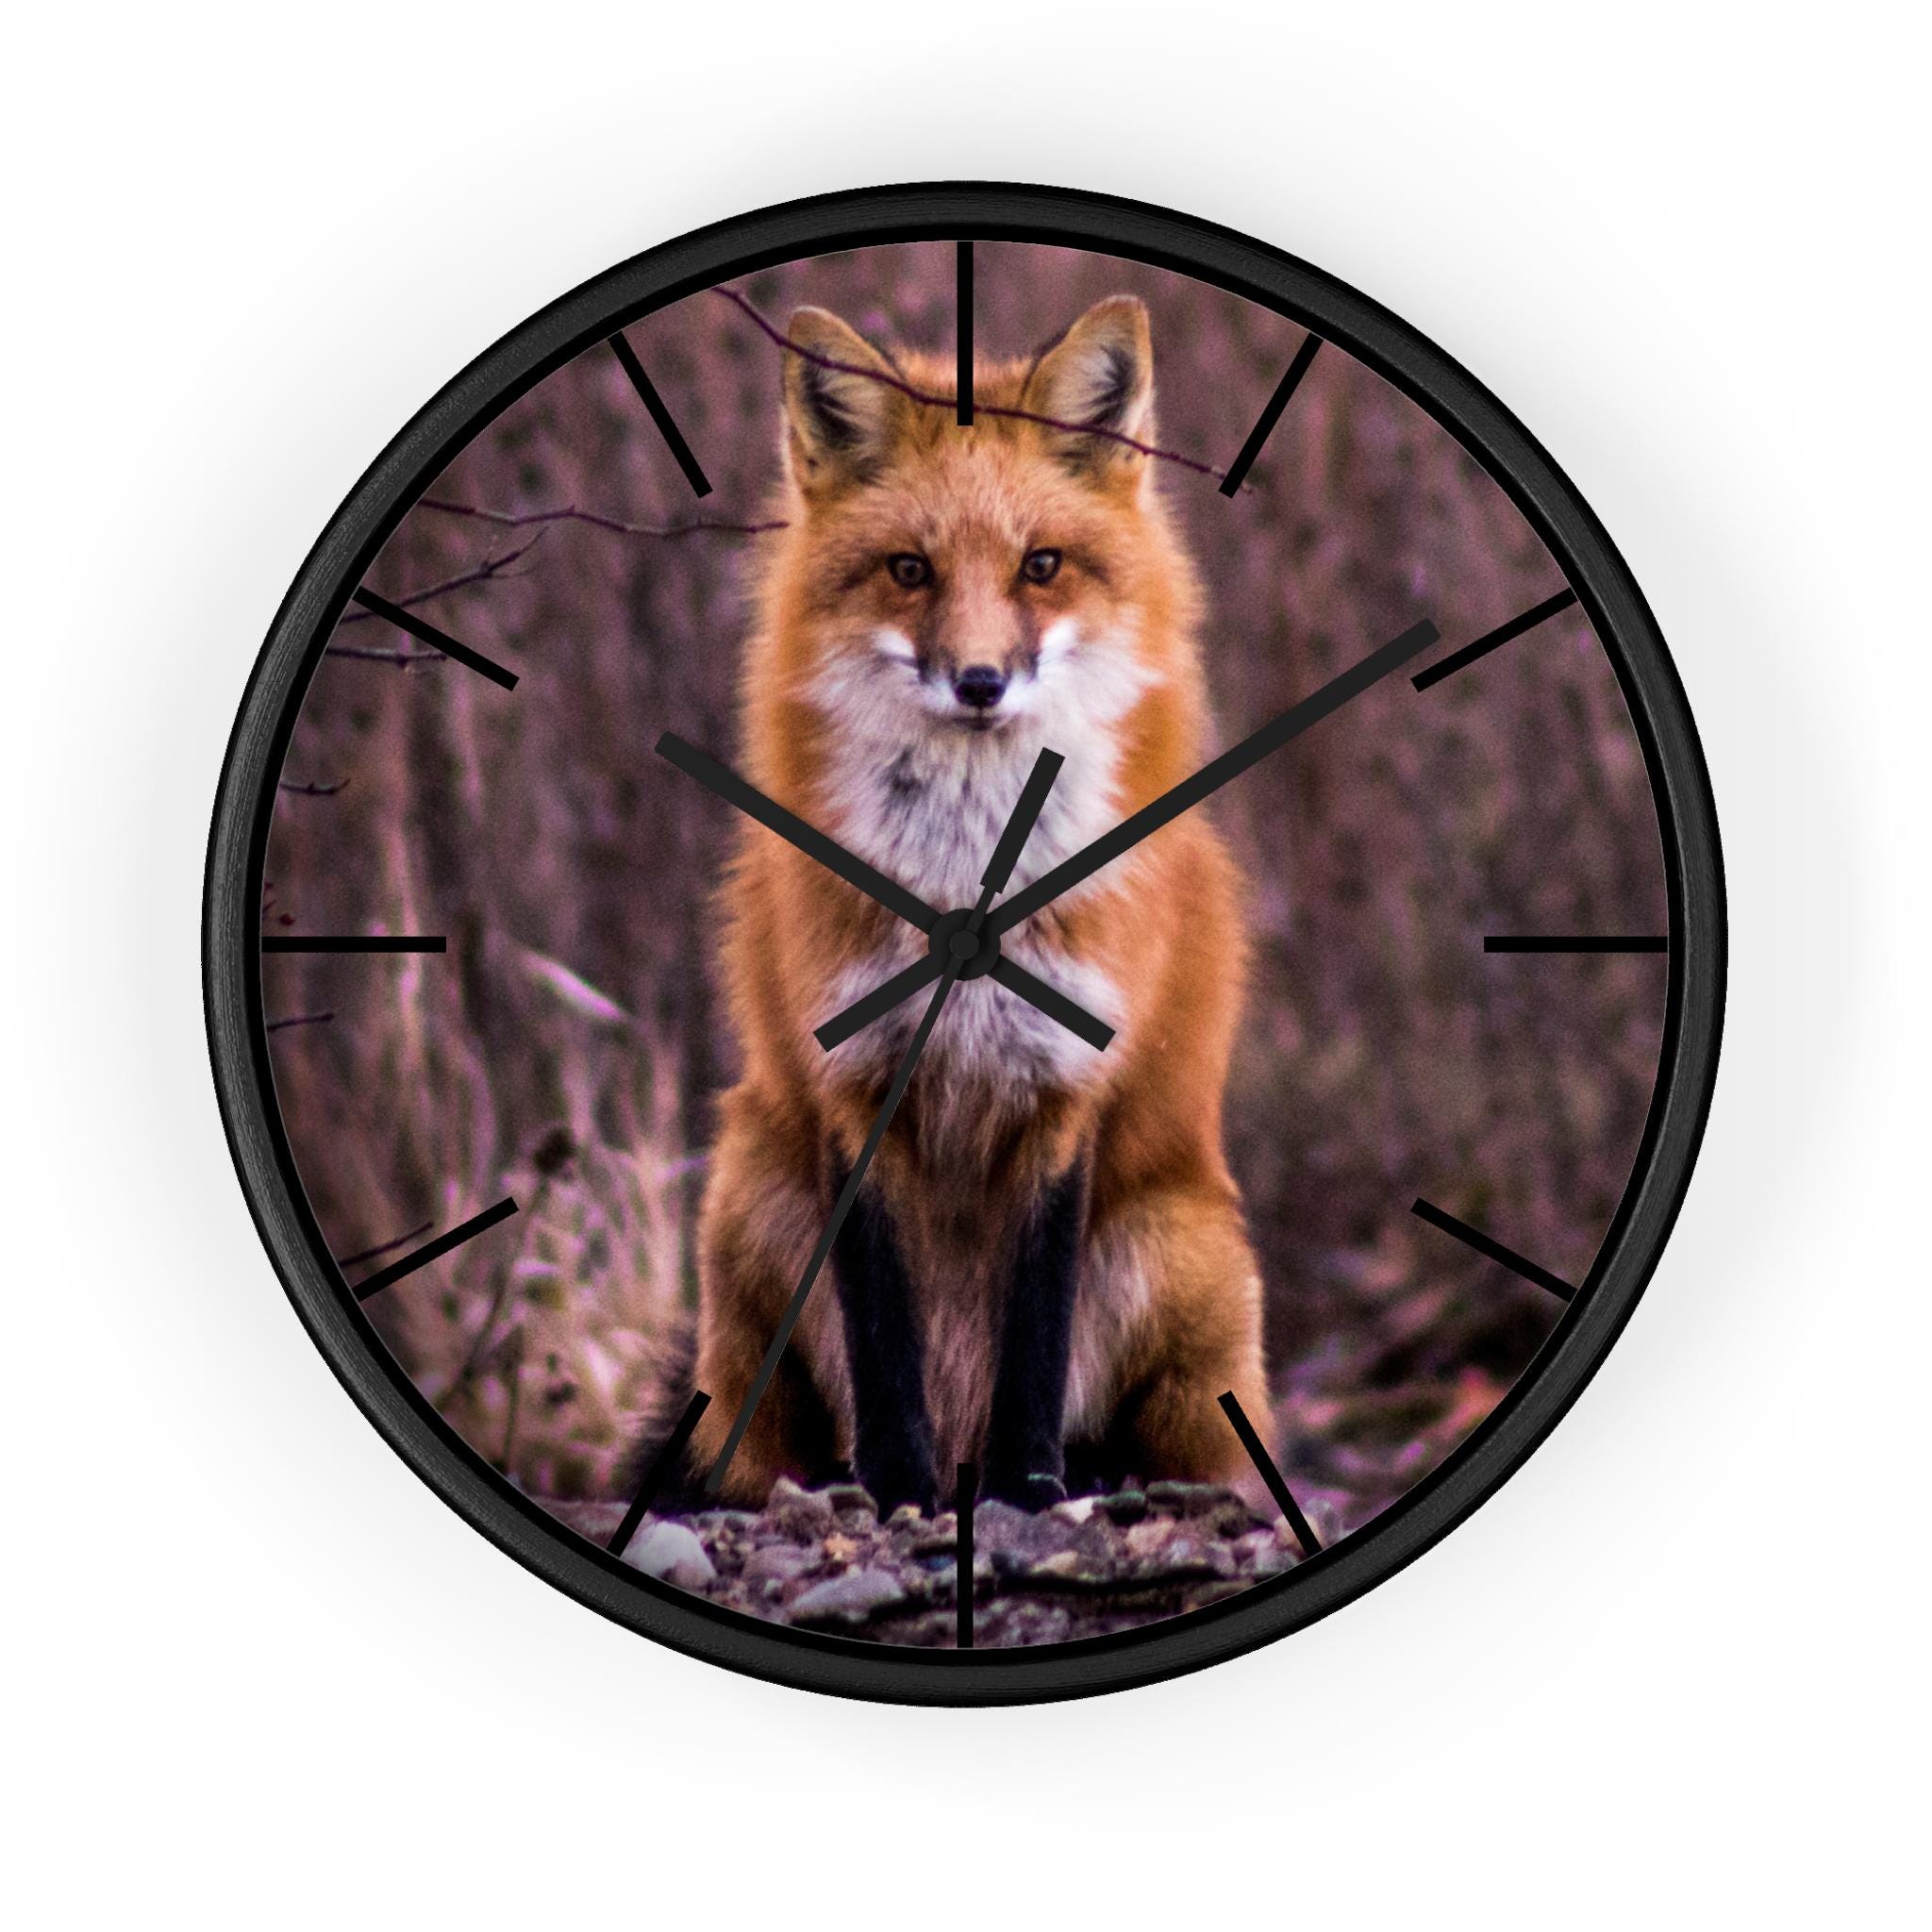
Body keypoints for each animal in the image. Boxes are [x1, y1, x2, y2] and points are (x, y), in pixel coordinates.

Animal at [644, 293, 1268, 1515]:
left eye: (1041, 565)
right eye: (907, 569)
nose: (979, 682)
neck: (963, 895)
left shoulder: (1064, 1089)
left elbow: (1035, 1323)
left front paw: (1025, 1487)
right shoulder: (852, 1082)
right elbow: (881, 1329)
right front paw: (898, 1486)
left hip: (1175, 1248)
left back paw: (1089, 1475)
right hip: (748, 1201)